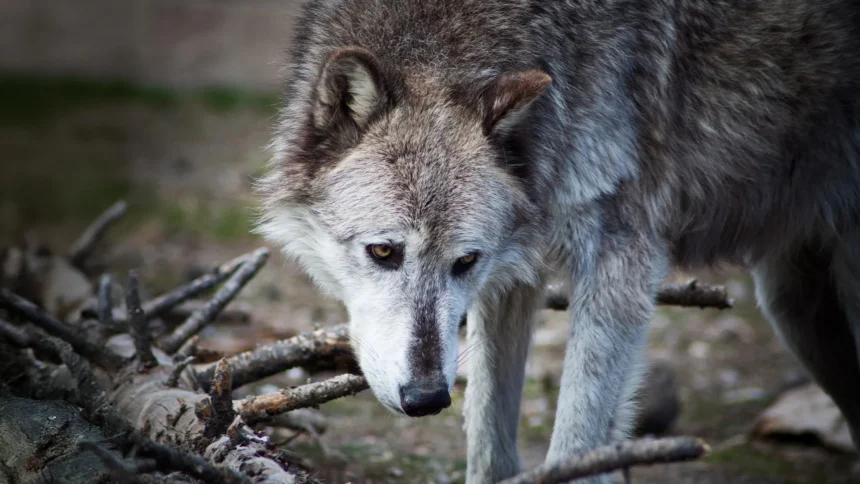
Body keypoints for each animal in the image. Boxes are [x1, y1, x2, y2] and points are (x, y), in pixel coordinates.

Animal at [255, 0, 860, 482]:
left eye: (465, 261)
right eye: (383, 251)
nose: (427, 399)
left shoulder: (620, 264)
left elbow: (575, 448)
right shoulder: (512, 280)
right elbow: (490, 446)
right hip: (793, 308)